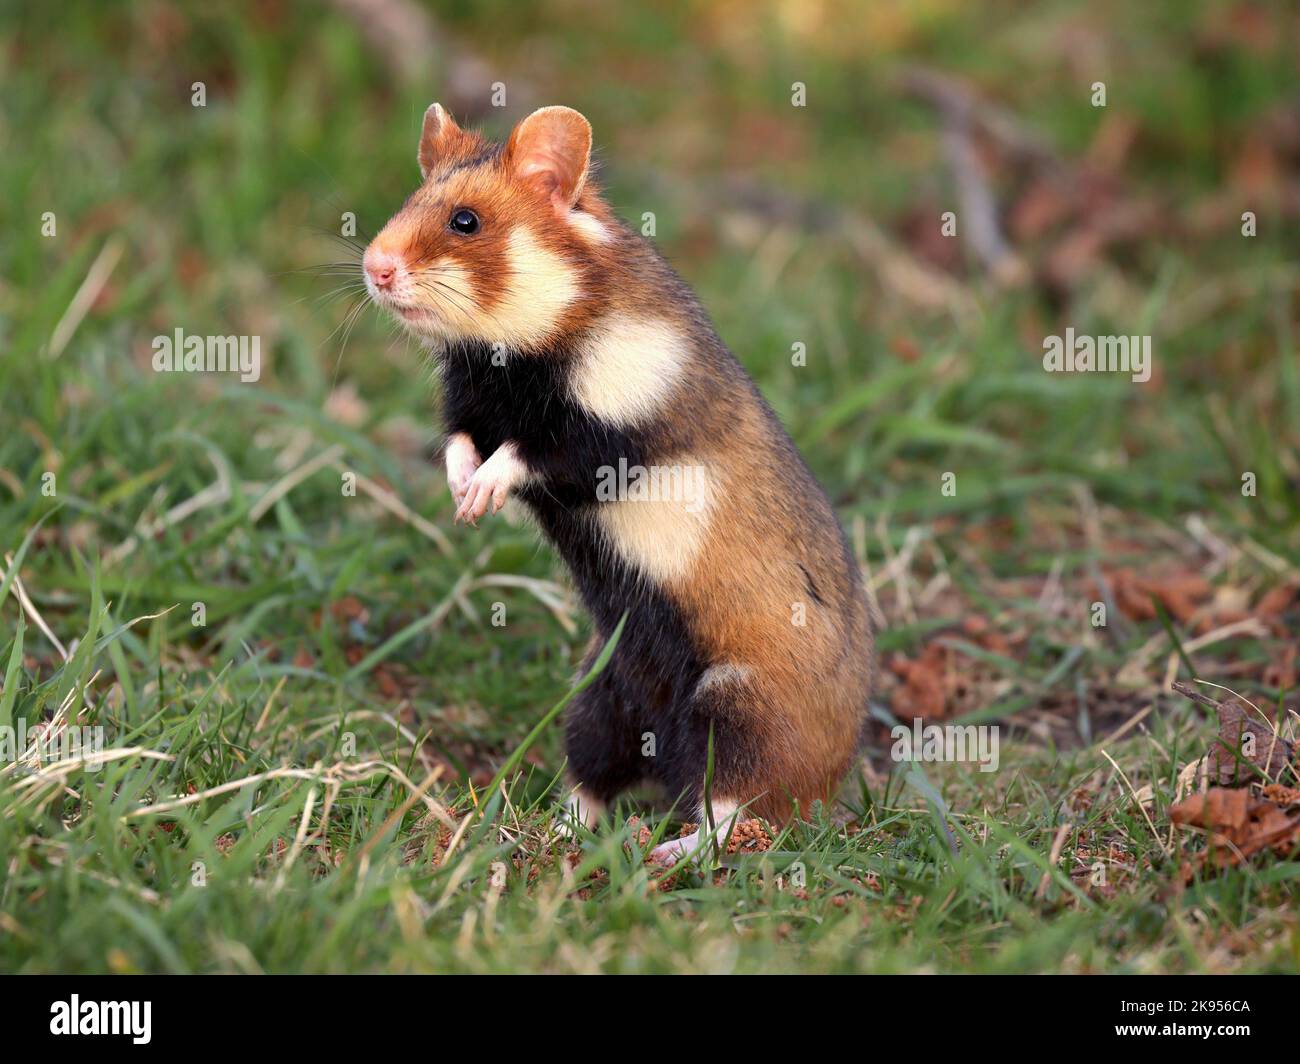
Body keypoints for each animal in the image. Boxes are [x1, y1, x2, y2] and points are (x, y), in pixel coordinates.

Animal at [362, 103, 874, 863]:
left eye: (465, 221)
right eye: (410, 197)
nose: (373, 267)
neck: (513, 353)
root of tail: (832, 787)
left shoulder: (614, 431)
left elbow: (528, 454)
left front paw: (480, 497)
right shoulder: (468, 407)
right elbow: (461, 444)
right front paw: (462, 499)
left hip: (737, 713)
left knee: (731, 810)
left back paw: (666, 852)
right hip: (602, 692)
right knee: (595, 780)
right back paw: (560, 833)